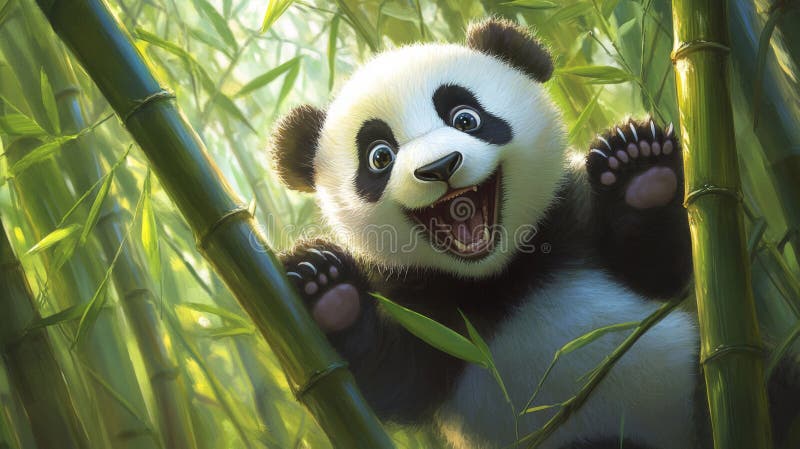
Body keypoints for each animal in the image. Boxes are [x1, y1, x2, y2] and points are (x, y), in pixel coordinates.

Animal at [268, 17, 799, 449]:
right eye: (379, 156)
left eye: (466, 118)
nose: (440, 167)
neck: (500, 275)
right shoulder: (422, 302)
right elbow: (397, 377)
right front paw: (326, 287)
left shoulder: (571, 218)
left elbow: (660, 272)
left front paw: (639, 169)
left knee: (780, 386)